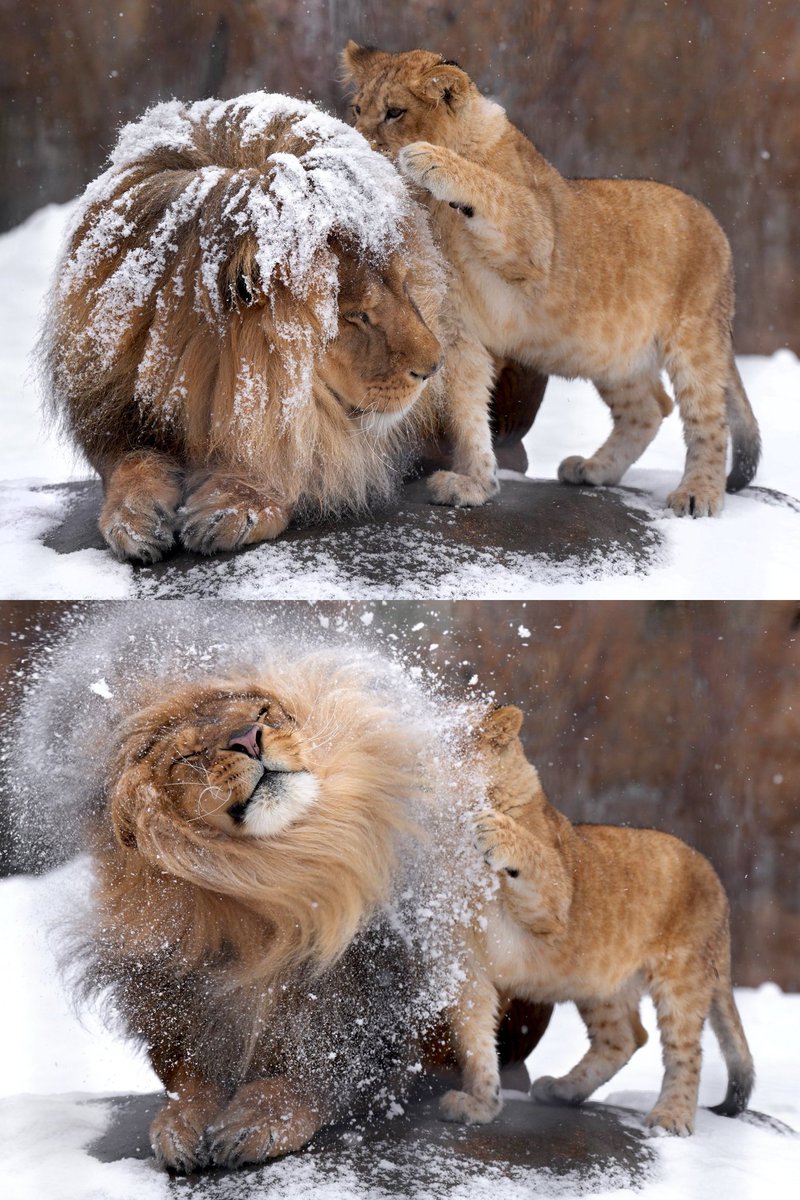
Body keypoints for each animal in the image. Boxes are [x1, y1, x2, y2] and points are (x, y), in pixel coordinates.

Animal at [40, 94, 447, 562]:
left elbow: (303, 450)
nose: (434, 368)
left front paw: (239, 503)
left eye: (404, 285)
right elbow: (129, 462)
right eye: (356, 315)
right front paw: (134, 516)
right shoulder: (110, 403)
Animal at [342, 44, 761, 517]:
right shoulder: (457, 330)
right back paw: (594, 470)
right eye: (357, 108)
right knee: (650, 407)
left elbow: (497, 192)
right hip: (614, 354)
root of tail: (714, 222)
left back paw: (698, 494)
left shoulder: (539, 239)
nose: (354, 138)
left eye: (394, 112)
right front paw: (475, 483)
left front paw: (429, 159)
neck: (430, 209)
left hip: (696, 338)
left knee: (708, 420)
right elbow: (467, 410)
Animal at [455, 704, 755, 1136]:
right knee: (626, 1037)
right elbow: (475, 1035)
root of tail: (713, 874)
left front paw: (497, 832)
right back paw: (562, 1090)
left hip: (683, 974)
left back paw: (671, 1117)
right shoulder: (464, 960)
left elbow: (538, 861)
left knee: (686, 1051)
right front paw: (479, 1103)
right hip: (601, 982)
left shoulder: (556, 904)